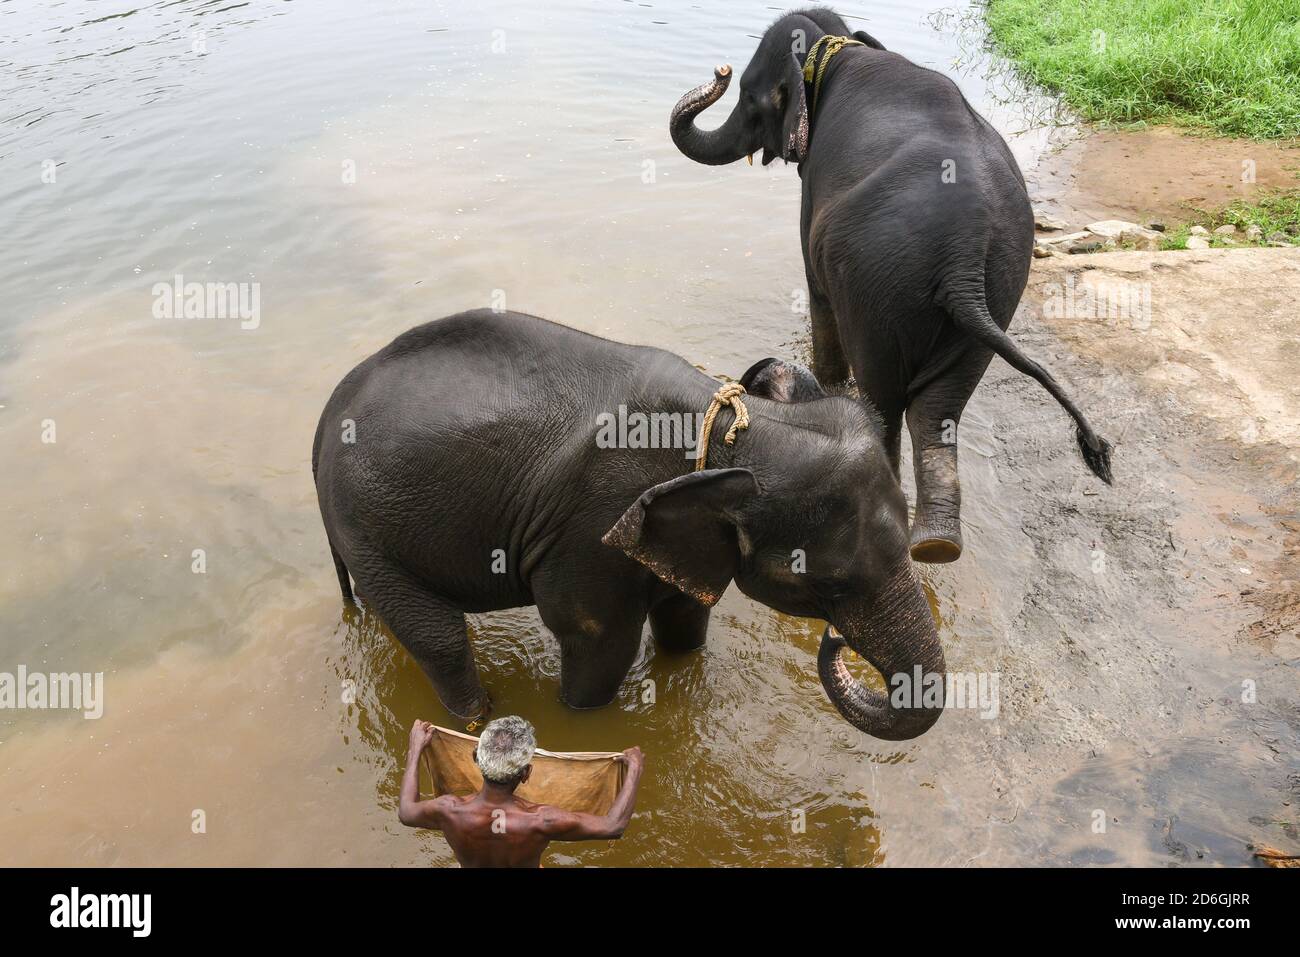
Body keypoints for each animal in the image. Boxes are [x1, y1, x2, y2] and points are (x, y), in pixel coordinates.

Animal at [313, 310, 945, 741]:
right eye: (830, 583)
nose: (834, 640)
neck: (740, 432)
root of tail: (325, 418)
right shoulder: (589, 534)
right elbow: (601, 641)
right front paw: (580, 722)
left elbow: (685, 619)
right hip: (364, 526)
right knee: (439, 638)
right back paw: (474, 718)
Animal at [670, 6, 1112, 564]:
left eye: (749, 96)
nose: (720, 71)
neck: (838, 46)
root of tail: (964, 249)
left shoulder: (813, 195)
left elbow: (817, 295)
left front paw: (827, 383)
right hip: (998, 284)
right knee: (940, 407)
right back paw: (936, 545)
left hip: (877, 286)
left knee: (885, 399)